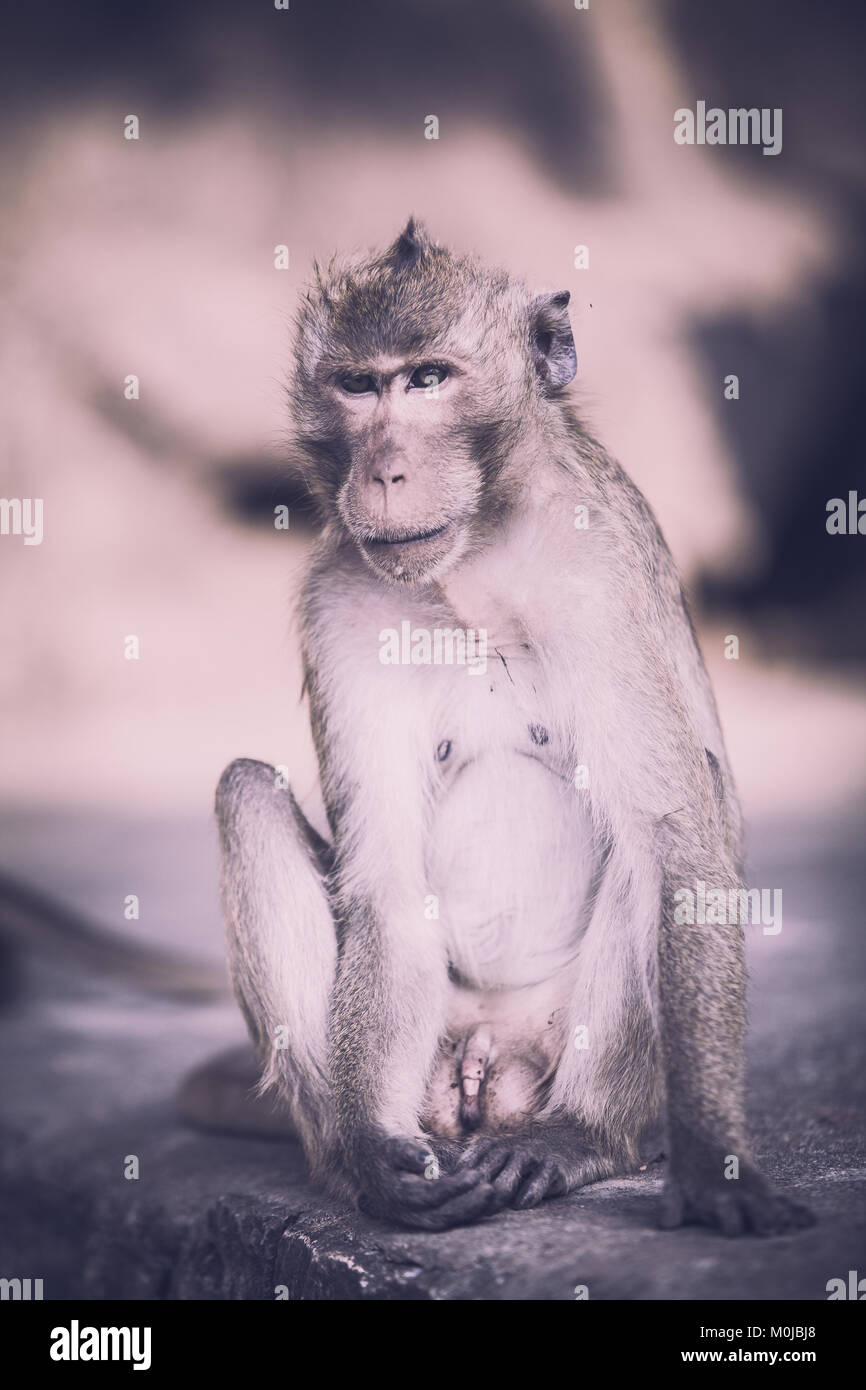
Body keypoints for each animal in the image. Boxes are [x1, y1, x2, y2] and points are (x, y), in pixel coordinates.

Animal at [195, 218, 814, 1236]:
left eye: (427, 379)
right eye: (357, 386)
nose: (385, 470)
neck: (473, 567)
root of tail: (491, 1047)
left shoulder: (595, 567)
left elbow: (676, 837)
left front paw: (717, 1170)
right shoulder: (340, 594)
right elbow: (387, 884)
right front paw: (375, 1160)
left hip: (554, 1042)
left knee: (675, 818)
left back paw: (581, 1137)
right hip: (436, 1046)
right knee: (246, 791)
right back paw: (350, 1161)